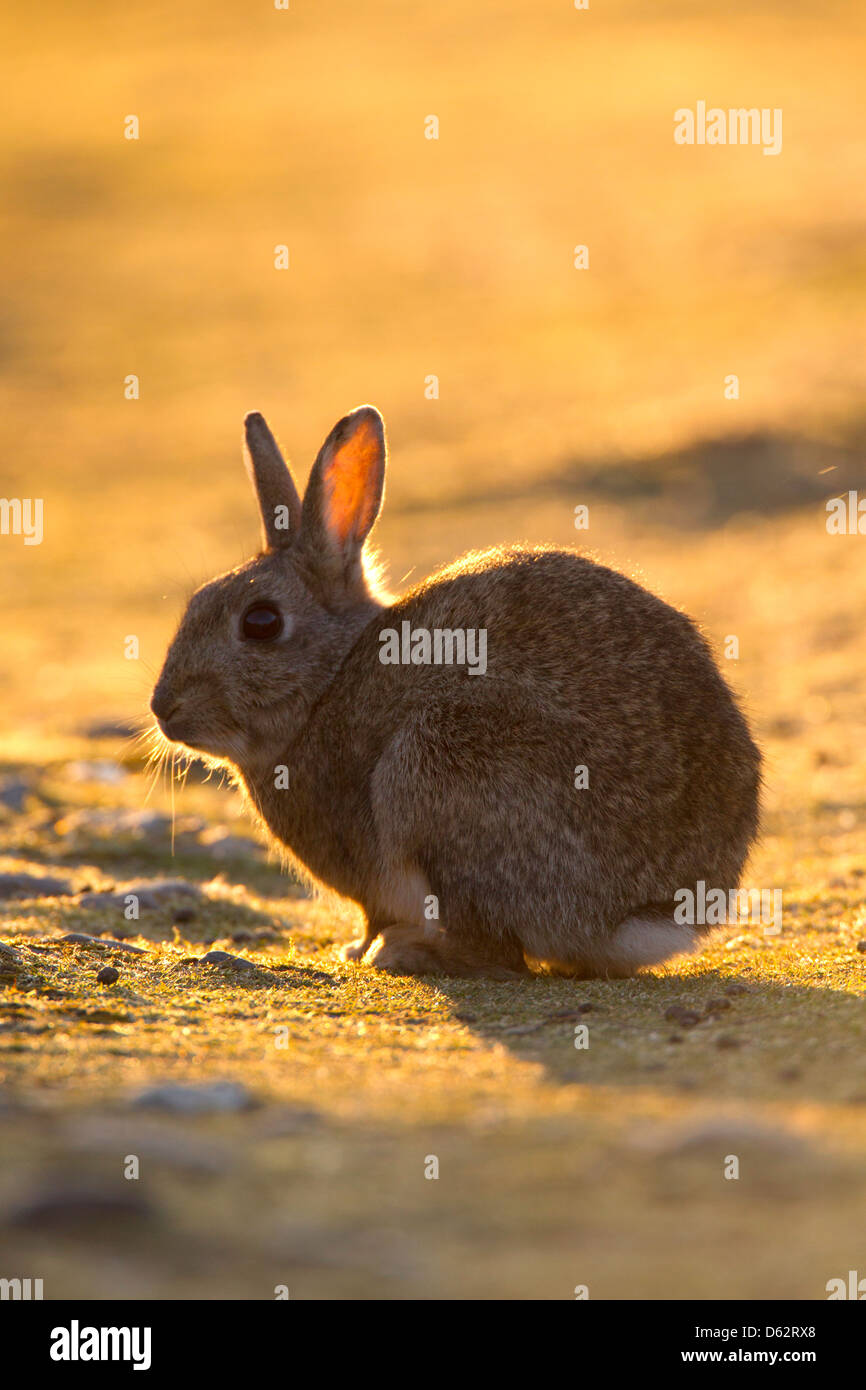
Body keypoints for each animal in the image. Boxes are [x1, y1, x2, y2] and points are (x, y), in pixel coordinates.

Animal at [151, 405, 761, 979]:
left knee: (496, 952)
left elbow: (375, 911)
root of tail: (642, 914)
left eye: (261, 622)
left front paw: (361, 949)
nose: (163, 708)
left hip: (439, 763)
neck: (327, 684)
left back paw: (405, 953)